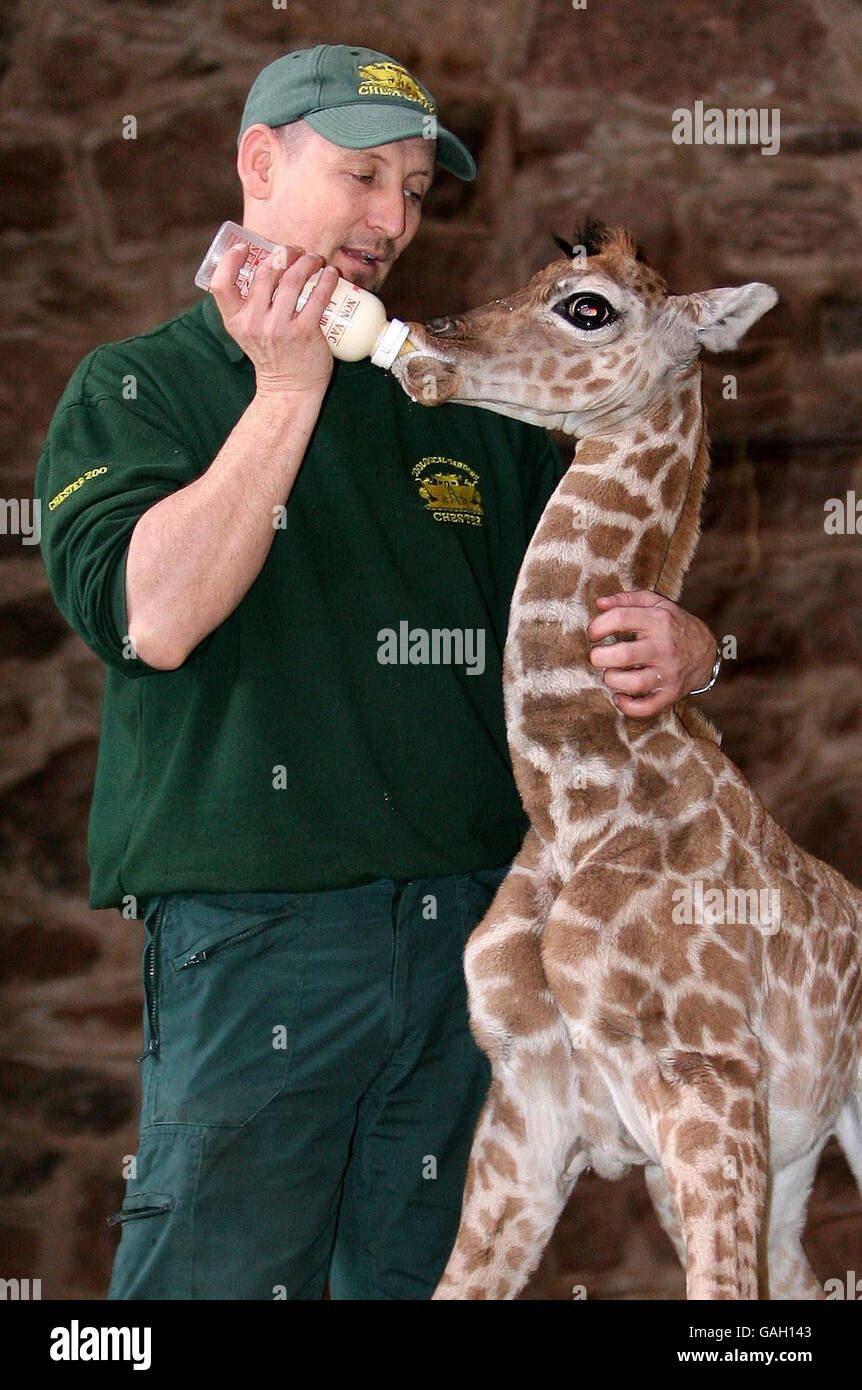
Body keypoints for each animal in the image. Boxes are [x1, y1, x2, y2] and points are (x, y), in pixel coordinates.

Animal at [391, 221, 862, 1300]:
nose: (425, 342)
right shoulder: (528, 1113)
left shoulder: (710, 1087)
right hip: (789, 1158)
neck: (577, 804)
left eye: (588, 306)